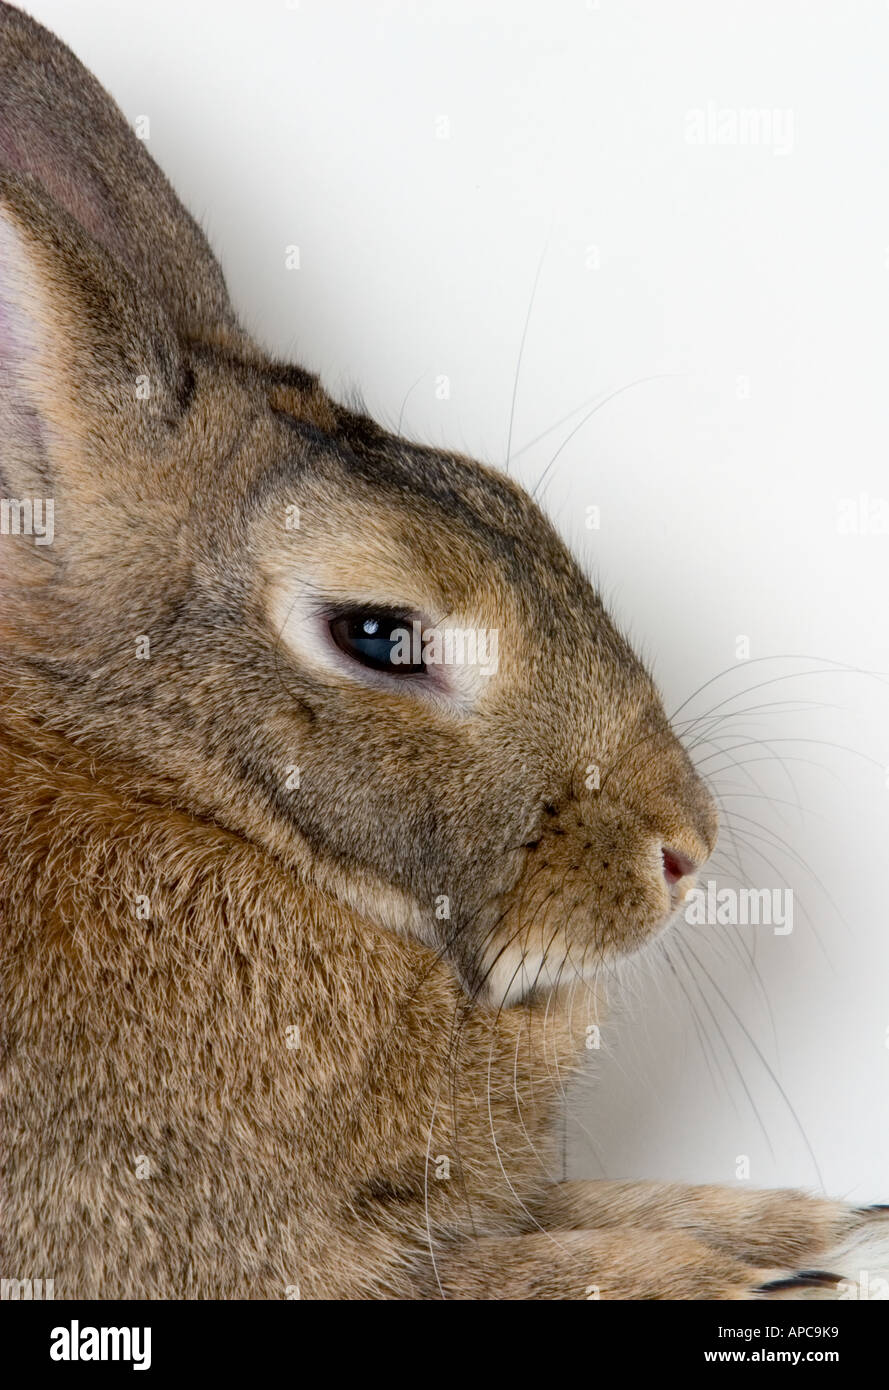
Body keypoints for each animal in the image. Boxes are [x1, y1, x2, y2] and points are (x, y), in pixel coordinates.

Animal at [0, 0, 886, 1300]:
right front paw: (733, 1270)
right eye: (378, 634)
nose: (686, 847)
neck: (177, 785)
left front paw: (794, 1229)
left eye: (510, 499)